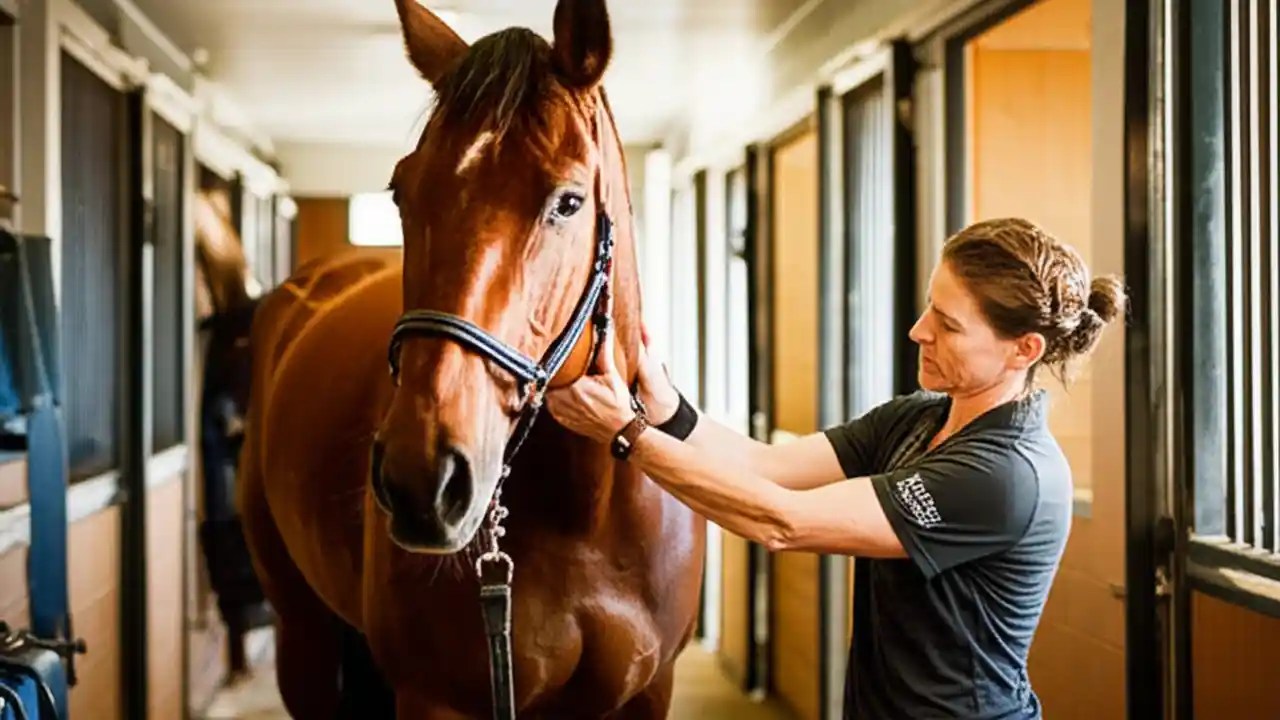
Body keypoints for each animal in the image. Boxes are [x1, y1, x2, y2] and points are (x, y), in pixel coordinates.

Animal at [237, 0, 707, 717]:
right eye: (400, 191)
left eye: (569, 202)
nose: (421, 479)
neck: (586, 514)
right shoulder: (435, 697)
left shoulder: (650, 692)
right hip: (303, 638)